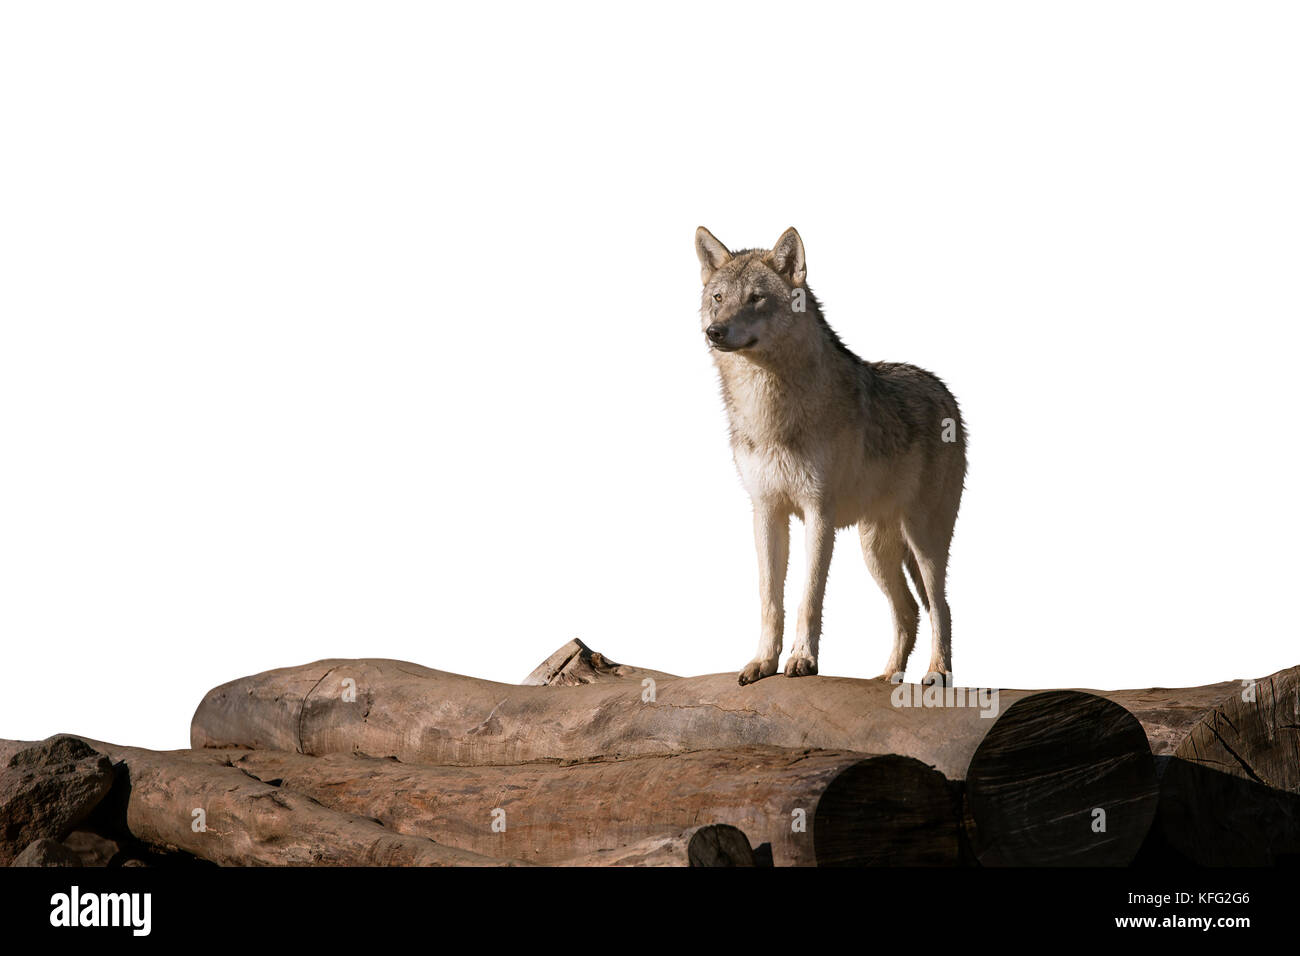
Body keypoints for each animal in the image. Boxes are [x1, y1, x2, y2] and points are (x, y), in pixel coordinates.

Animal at [695, 226, 967, 686]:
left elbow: (808, 597)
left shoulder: (817, 511)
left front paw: (802, 661)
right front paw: (761, 663)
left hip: (924, 541)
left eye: (755, 298)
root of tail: (942, 388)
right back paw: (886, 677)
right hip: (874, 549)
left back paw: (937, 674)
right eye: (718, 297)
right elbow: (770, 599)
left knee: (941, 606)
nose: (715, 331)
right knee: (908, 610)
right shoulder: (766, 511)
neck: (768, 409)